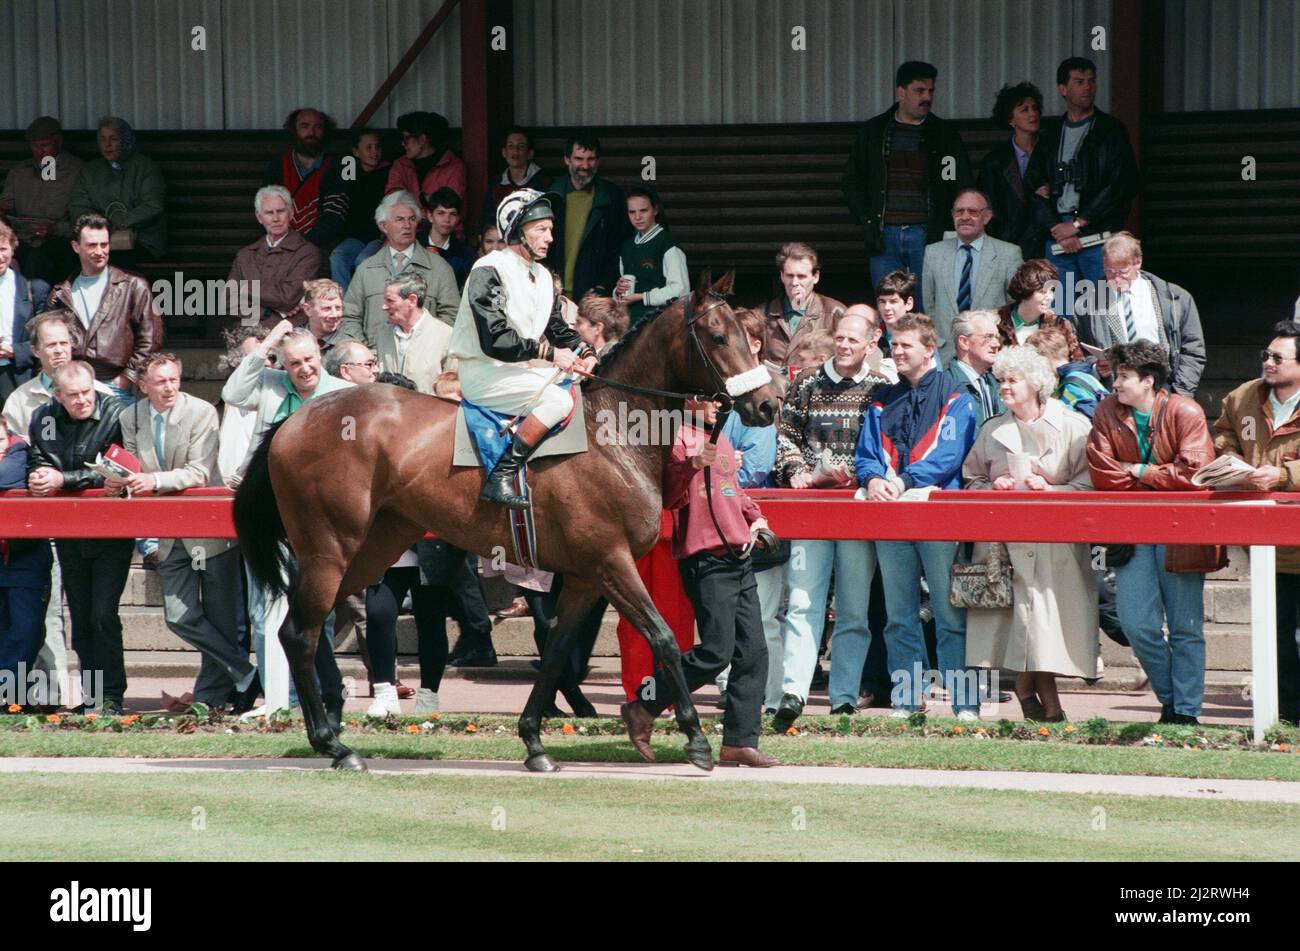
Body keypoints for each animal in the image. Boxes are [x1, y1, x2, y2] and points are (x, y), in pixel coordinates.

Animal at [233, 270, 781, 772]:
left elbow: (557, 651)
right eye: (718, 336)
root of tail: (295, 418)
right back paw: (334, 745)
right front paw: (696, 739)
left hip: (372, 549)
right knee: (301, 633)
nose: (767, 404)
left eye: (747, 333)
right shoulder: (612, 563)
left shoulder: (585, 577)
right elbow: (664, 638)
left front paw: (534, 740)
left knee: (303, 628)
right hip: (329, 549)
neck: (613, 433)